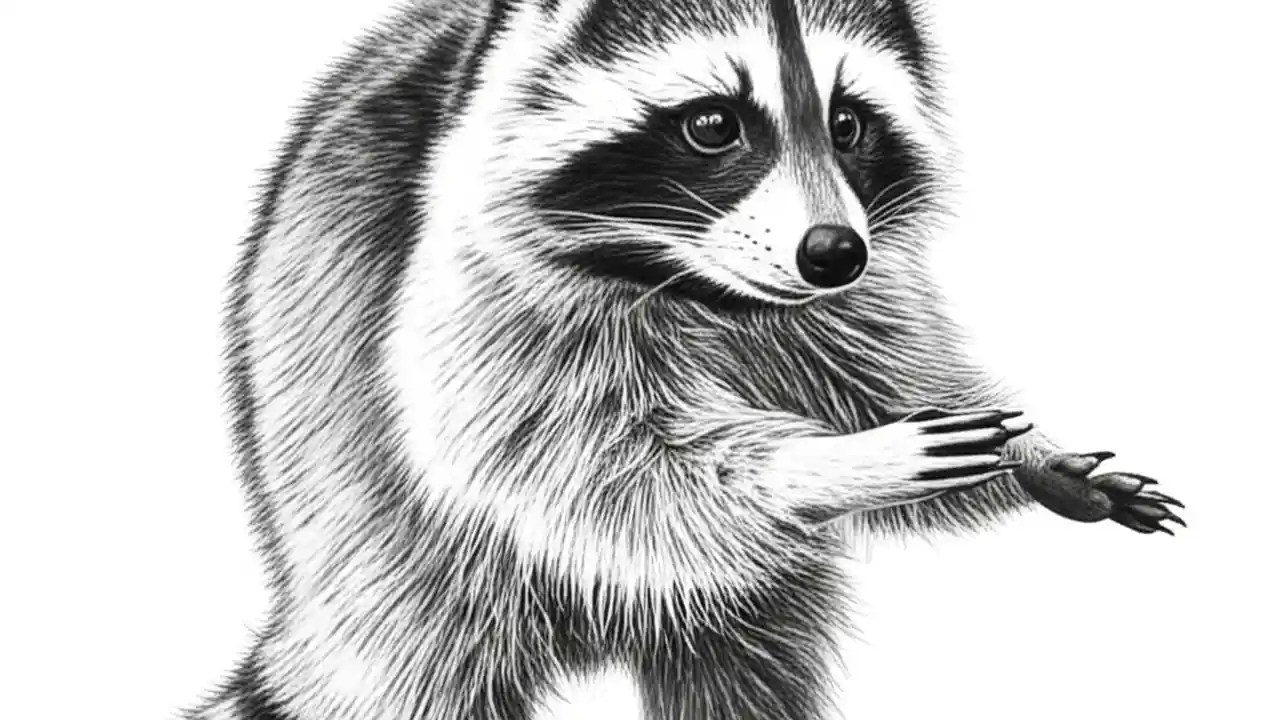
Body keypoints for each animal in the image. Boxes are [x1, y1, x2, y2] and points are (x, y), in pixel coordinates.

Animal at [185, 1, 1184, 718]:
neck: (704, 286)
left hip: (741, 595)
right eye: (713, 125)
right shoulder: (466, 282)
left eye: (849, 124)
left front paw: (1032, 452)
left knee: (751, 663)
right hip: (362, 507)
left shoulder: (859, 299)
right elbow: (551, 457)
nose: (833, 253)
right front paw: (830, 464)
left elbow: (899, 376)